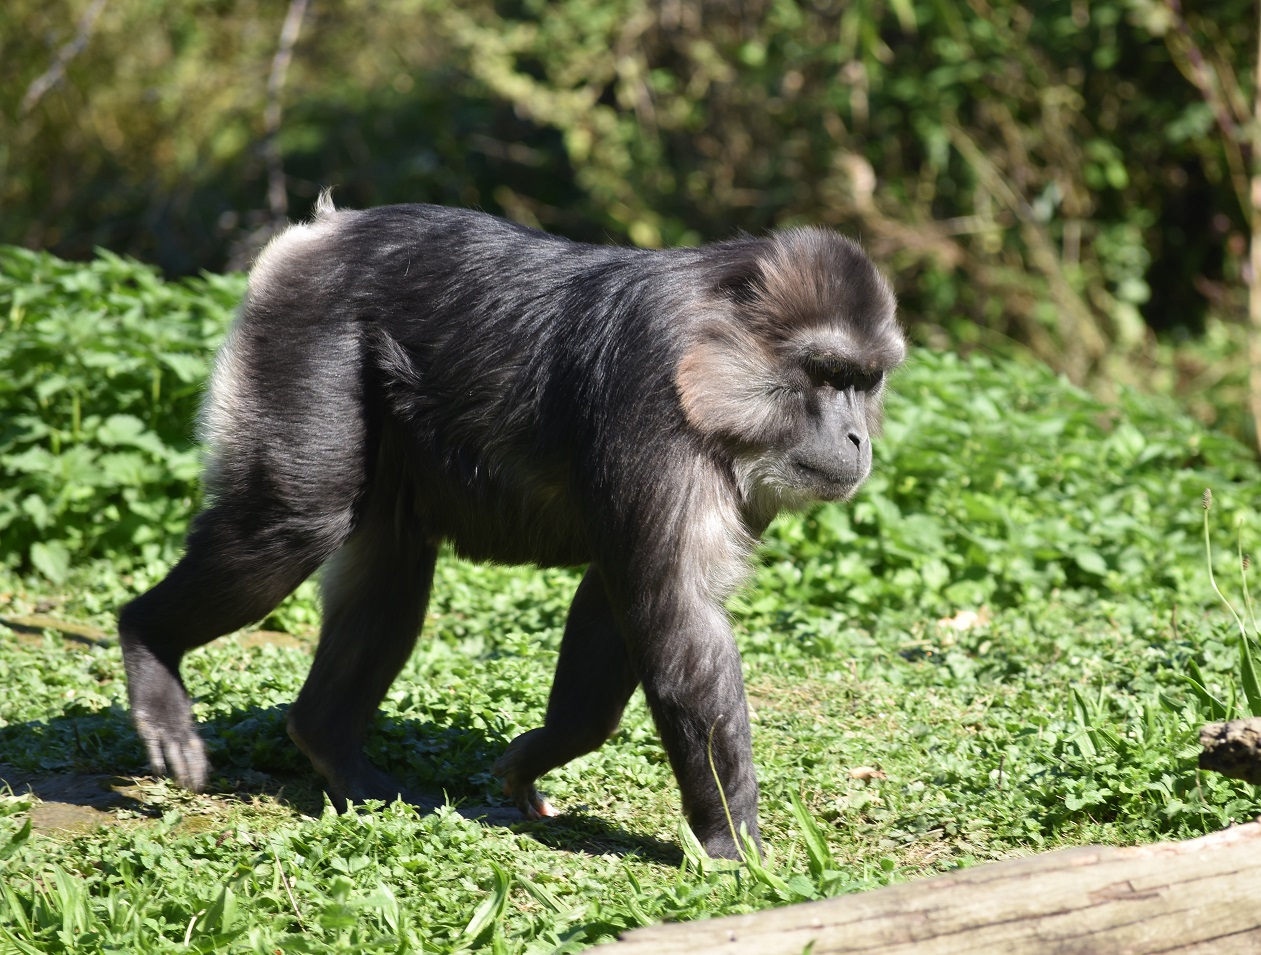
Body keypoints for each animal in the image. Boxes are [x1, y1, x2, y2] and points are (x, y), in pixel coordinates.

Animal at [118, 193, 905, 860]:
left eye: (864, 382)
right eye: (825, 374)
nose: (857, 438)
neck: (707, 354)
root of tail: (321, 234)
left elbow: (620, 597)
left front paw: (541, 752)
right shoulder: (652, 390)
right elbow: (673, 611)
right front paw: (732, 843)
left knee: (393, 562)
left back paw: (332, 745)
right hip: (303, 336)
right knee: (295, 522)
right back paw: (148, 639)